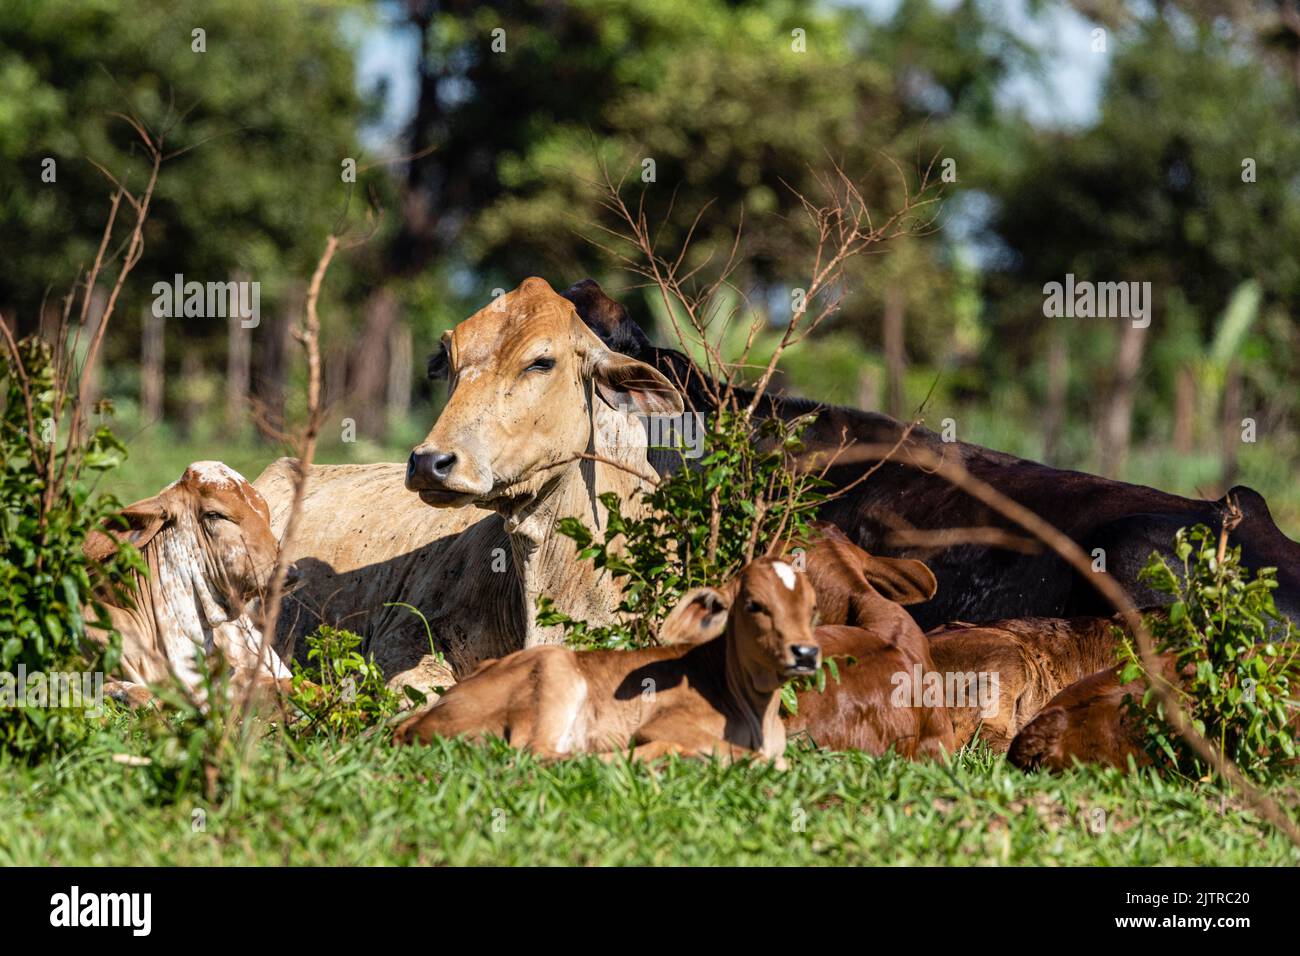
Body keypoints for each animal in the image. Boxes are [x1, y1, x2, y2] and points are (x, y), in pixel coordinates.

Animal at [394, 556, 820, 766]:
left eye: (812, 606)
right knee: (538, 753)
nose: (806, 653)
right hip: (555, 671)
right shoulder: (666, 723)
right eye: (754, 605)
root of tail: (415, 723)